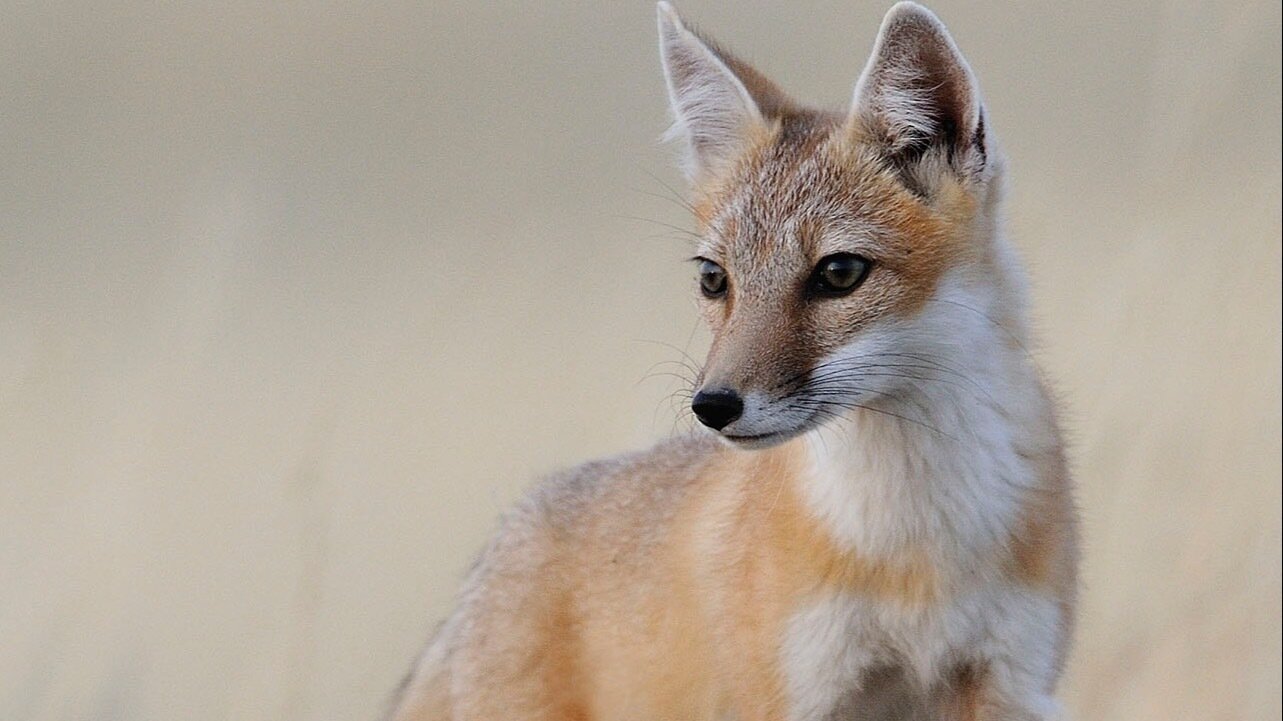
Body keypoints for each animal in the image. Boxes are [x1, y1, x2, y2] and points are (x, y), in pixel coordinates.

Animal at [387, 2, 1078, 720]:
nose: (712, 406)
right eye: (714, 279)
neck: (913, 549)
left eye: (838, 273)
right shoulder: (793, 696)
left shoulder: (1010, 683)